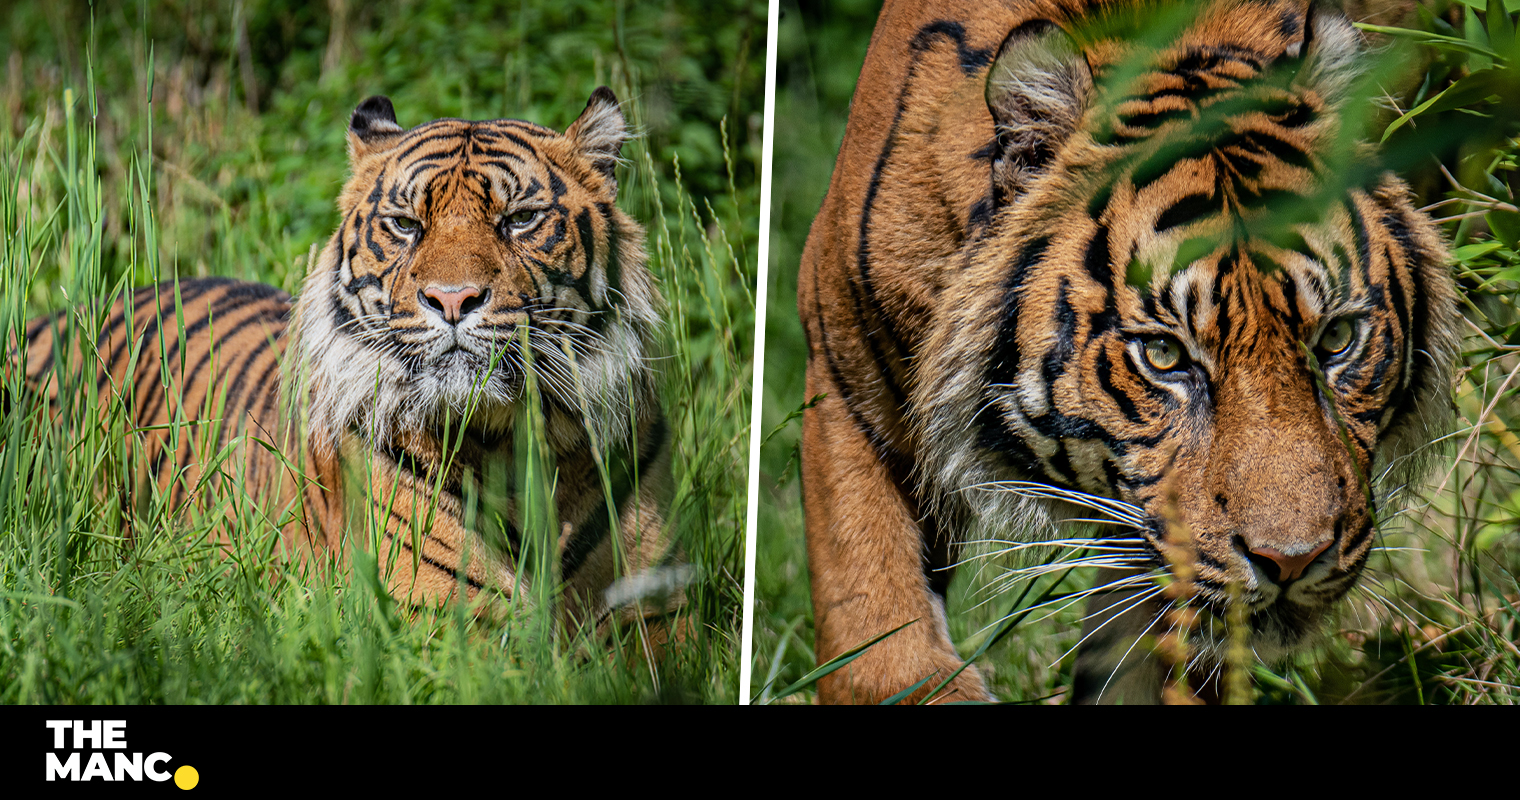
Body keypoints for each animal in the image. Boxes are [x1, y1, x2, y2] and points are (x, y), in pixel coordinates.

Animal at [12, 87, 680, 636]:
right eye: (406, 225)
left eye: (519, 220)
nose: (453, 299)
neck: (514, 440)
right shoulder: (440, 621)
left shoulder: (655, 613)